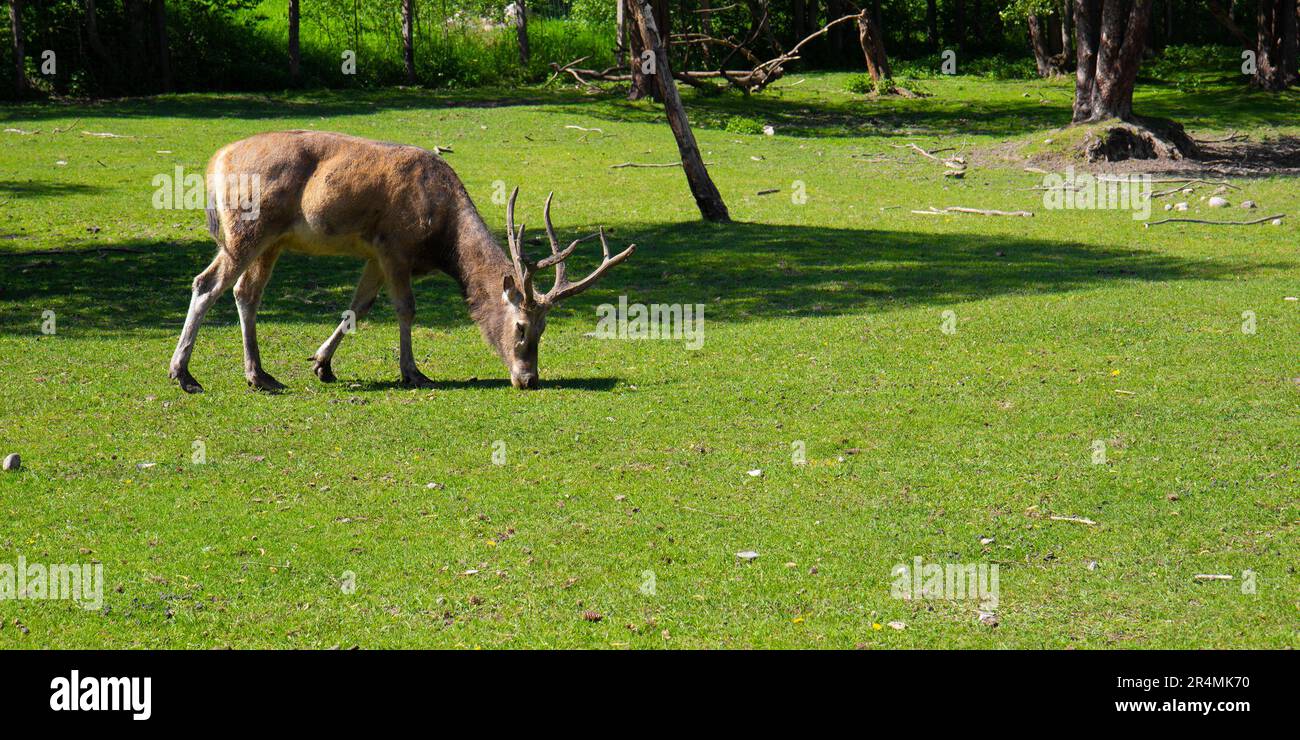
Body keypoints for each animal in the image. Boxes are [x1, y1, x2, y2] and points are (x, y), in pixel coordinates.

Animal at [169, 130, 635, 393]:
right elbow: (405, 309)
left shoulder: (374, 254)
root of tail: (216, 161)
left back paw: (259, 376)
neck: (441, 238)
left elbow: (358, 306)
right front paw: (413, 372)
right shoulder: (394, 245)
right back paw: (184, 374)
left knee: (245, 293)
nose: (529, 380)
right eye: (521, 327)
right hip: (248, 228)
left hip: (272, 240)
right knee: (206, 284)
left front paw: (322, 364)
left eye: (545, 328)